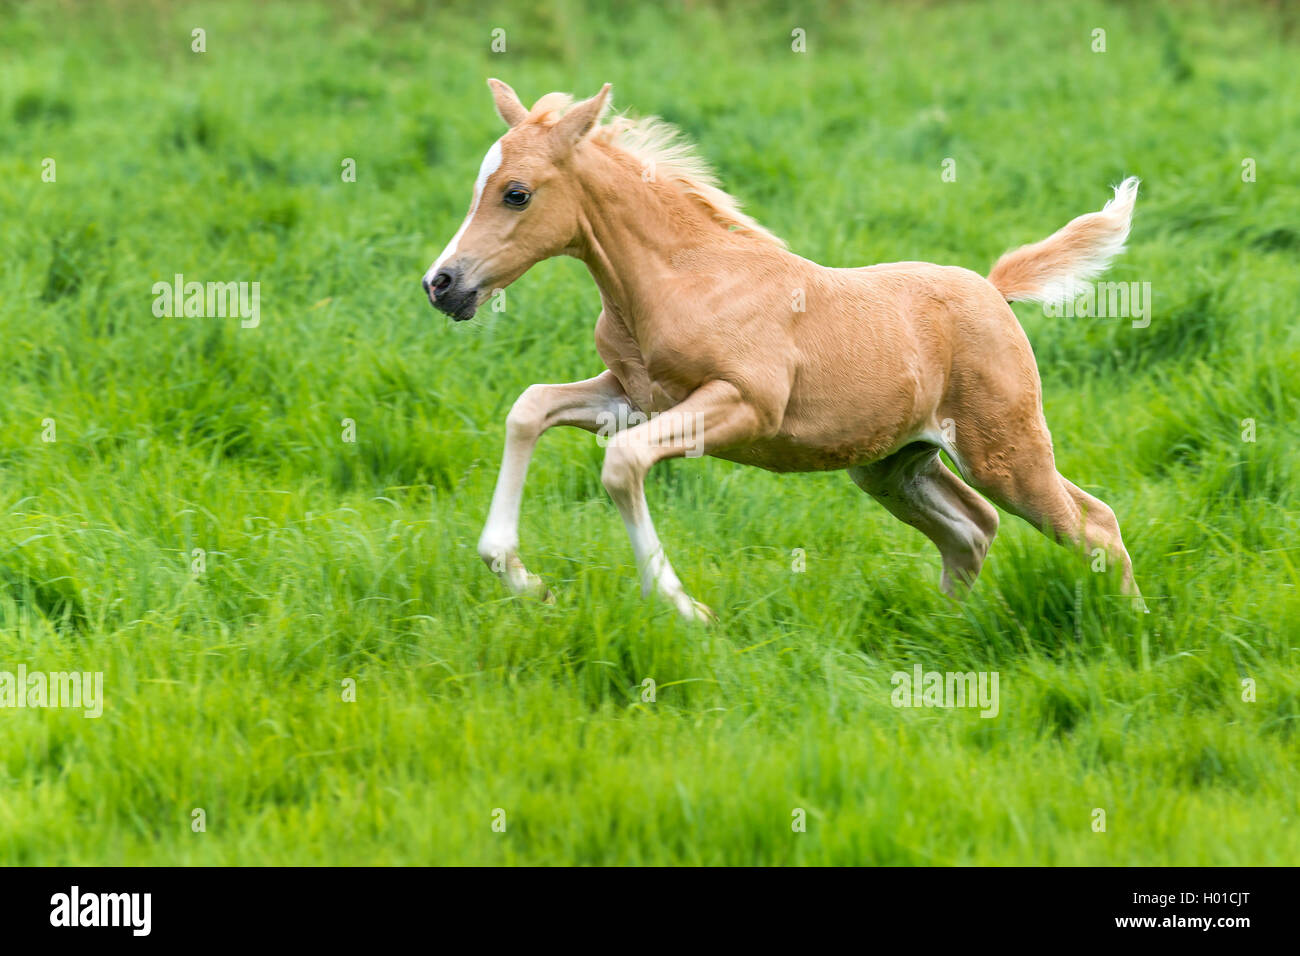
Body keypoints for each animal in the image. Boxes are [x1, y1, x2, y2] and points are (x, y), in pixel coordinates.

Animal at [422, 79, 1144, 622]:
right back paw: (948, 631)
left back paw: (1133, 626)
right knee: (974, 528)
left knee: (1095, 524)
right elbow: (529, 408)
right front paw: (521, 578)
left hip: (1005, 452)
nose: (442, 284)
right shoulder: (633, 396)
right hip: (893, 467)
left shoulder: (743, 406)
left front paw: (686, 611)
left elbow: (622, 464)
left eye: (516, 193)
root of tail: (994, 290)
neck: (682, 276)